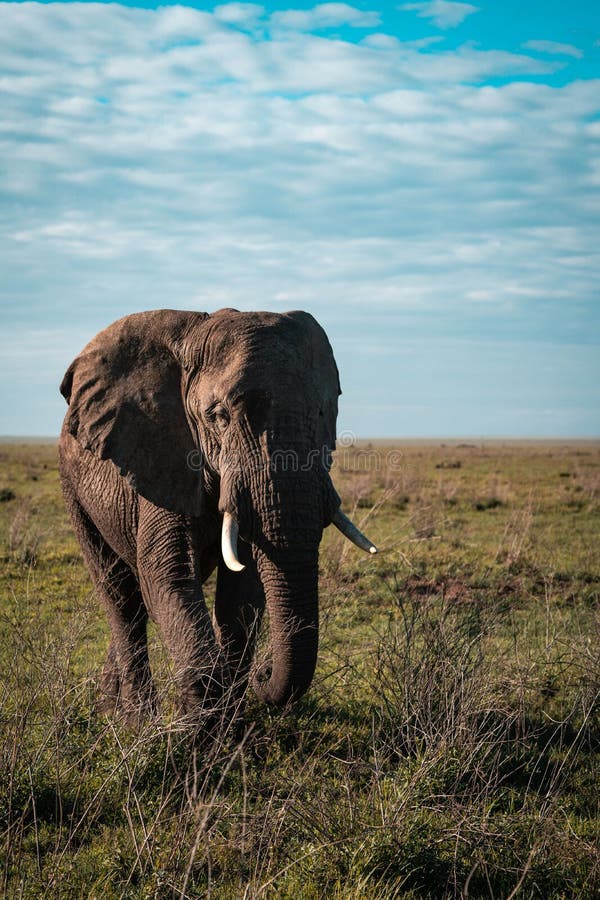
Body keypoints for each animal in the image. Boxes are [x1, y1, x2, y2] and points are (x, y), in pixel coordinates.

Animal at [58, 308, 376, 726]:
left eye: (323, 413)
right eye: (219, 417)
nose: (265, 672)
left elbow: (242, 594)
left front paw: (229, 725)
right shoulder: (164, 454)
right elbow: (169, 575)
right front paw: (200, 729)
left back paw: (112, 709)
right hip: (73, 487)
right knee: (121, 597)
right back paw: (134, 721)